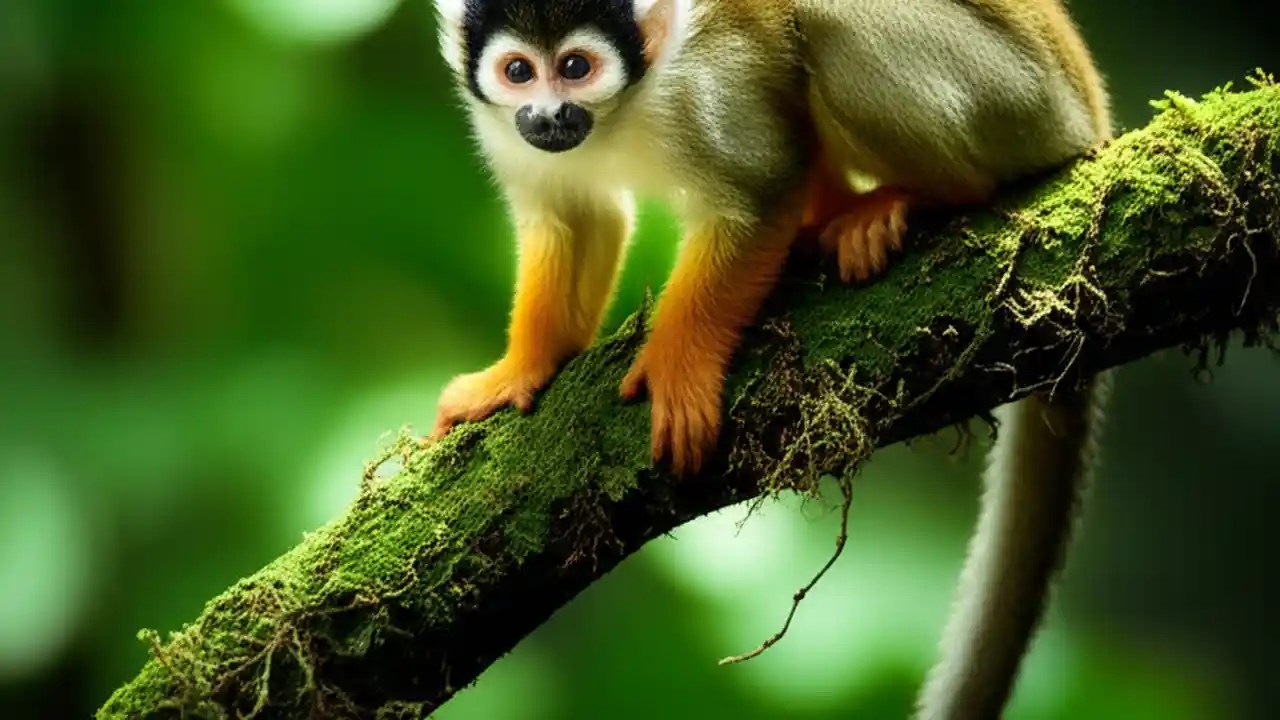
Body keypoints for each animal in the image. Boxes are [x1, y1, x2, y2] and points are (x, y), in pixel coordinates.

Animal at [428, 1, 1112, 717]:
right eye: (518, 72)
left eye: (575, 67)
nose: (549, 115)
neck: (627, 108)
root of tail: (1089, 116)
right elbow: (576, 217)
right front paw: (518, 371)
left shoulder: (704, 89)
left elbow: (761, 193)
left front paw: (679, 366)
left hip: (1019, 103)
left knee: (833, 23)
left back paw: (920, 198)